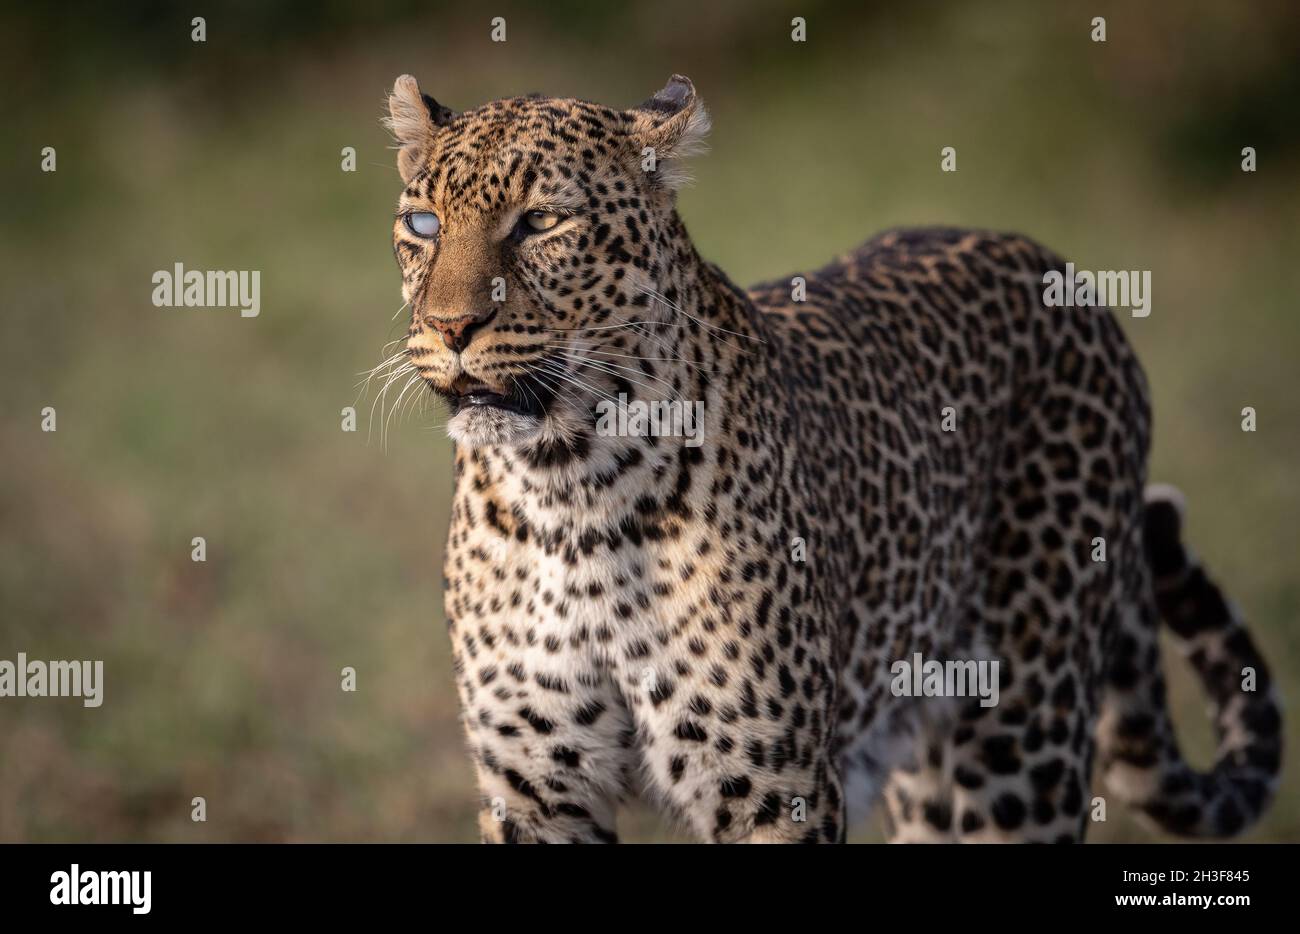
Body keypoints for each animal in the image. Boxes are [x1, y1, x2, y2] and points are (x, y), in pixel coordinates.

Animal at [381, 73, 1282, 842]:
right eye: (423, 226)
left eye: (542, 222)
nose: (451, 327)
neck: (570, 487)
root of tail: (1059, 271)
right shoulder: (534, 789)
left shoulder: (776, 789)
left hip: (1022, 742)